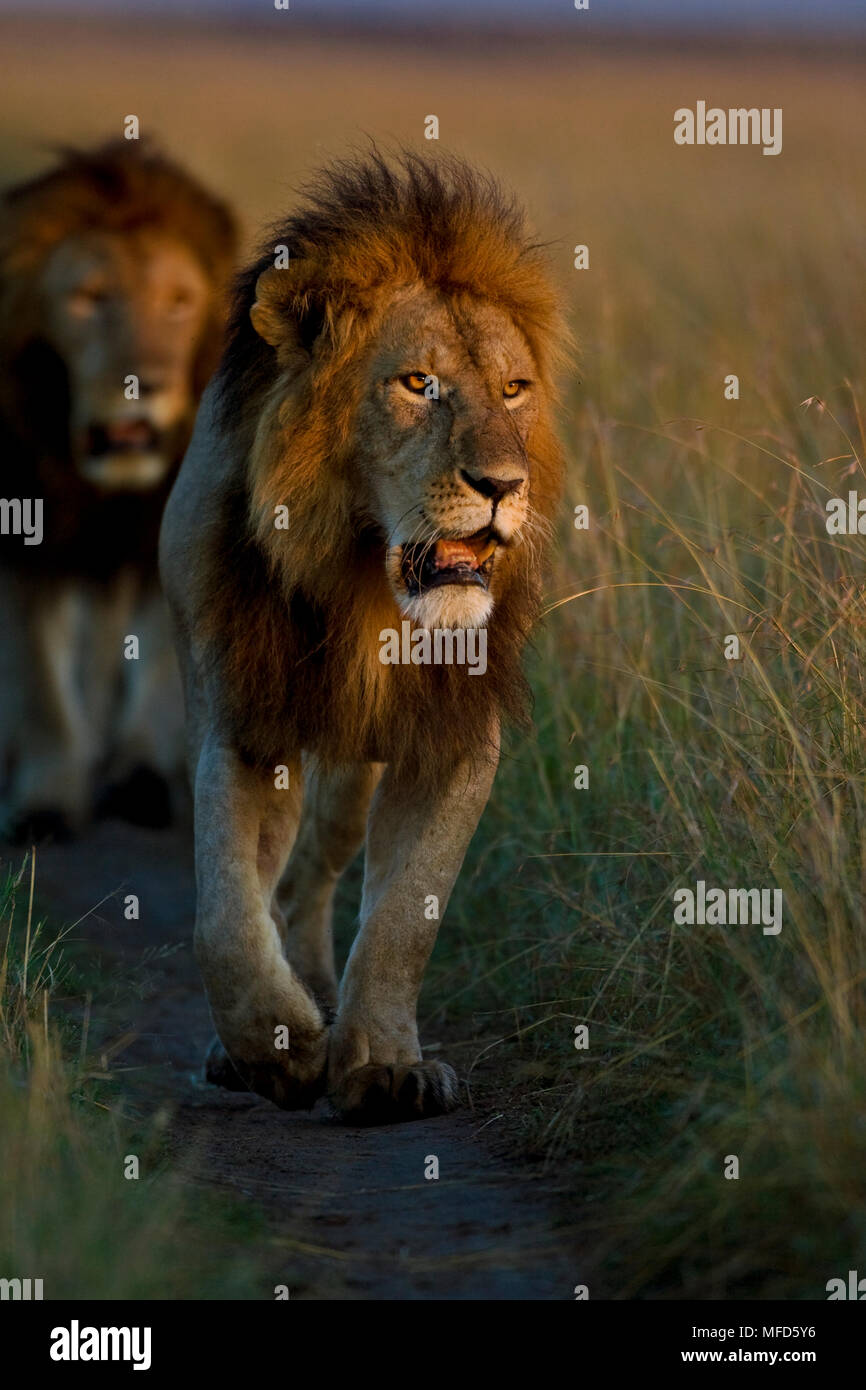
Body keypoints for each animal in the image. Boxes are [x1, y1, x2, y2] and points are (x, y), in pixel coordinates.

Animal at [0, 140, 237, 837]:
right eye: (89, 298)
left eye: (179, 302)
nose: (146, 383)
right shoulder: (27, 535)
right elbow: (42, 682)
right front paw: (46, 802)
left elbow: (157, 664)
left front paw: (144, 782)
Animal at [159, 151, 565, 1124]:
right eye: (417, 384)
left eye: (514, 390)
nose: (504, 485)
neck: (366, 589)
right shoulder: (244, 720)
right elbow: (223, 910)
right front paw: (274, 1042)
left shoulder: (456, 734)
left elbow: (405, 913)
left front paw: (382, 1066)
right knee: (277, 880)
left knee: (316, 868)